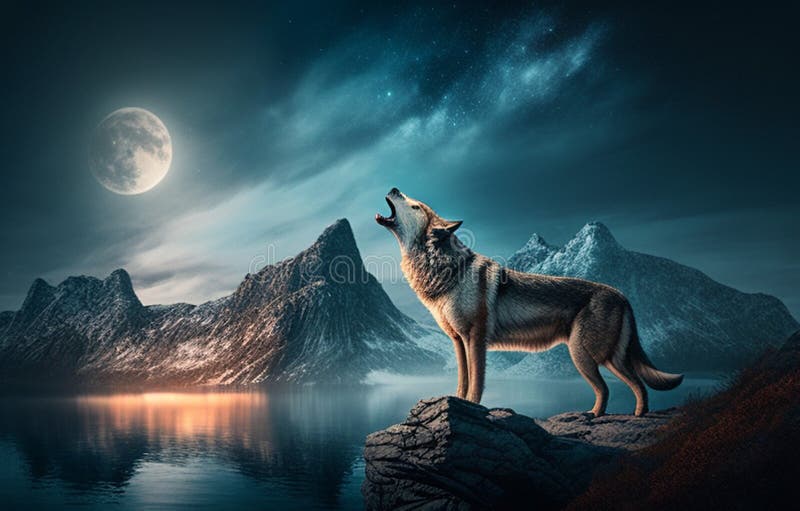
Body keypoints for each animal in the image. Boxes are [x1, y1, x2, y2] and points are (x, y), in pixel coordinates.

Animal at [376, 188, 683, 416]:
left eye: (415, 206)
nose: (394, 188)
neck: (446, 270)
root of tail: (623, 296)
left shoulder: (476, 340)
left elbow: (476, 382)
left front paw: (473, 406)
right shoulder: (458, 341)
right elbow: (462, 381)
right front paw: (457, 402)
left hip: (587, 355)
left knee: (620, 387)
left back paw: (611, 415)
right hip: (603, 357)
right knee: (629, 385)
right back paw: (616, 415)